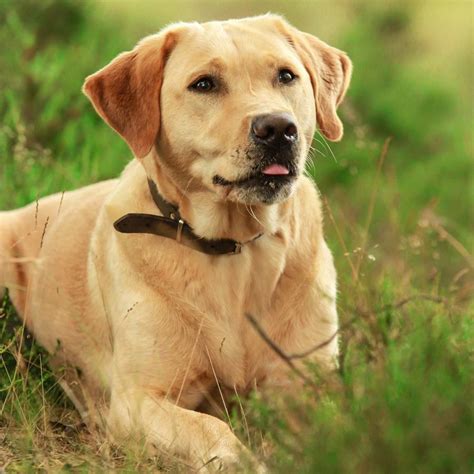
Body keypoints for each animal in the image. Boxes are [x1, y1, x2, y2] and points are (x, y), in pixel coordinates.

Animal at [0, 13, 350, 470]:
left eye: (286, 76)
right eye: (204, 84)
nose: (277, 128)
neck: (234, 247)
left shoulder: (308, 388)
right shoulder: (136, 400)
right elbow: (212, 428)